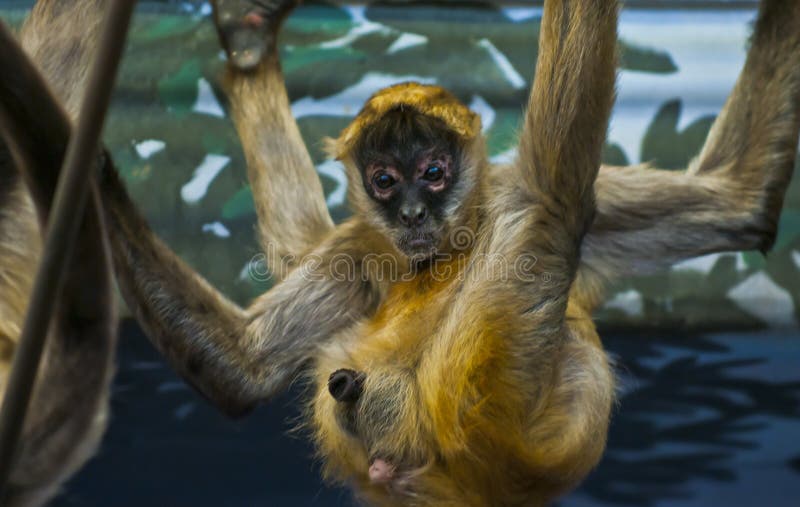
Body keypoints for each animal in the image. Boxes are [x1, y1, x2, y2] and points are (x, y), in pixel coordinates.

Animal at [0, 0, 798, 505]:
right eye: (386, 180)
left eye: (434, 172)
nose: (413, 210)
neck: (442, 251)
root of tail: (485, 479)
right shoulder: (361, 246)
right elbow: (241, 368)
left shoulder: (487, 190)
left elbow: (741, 201)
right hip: (479, 386)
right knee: (554, 193)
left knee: (551, 191)